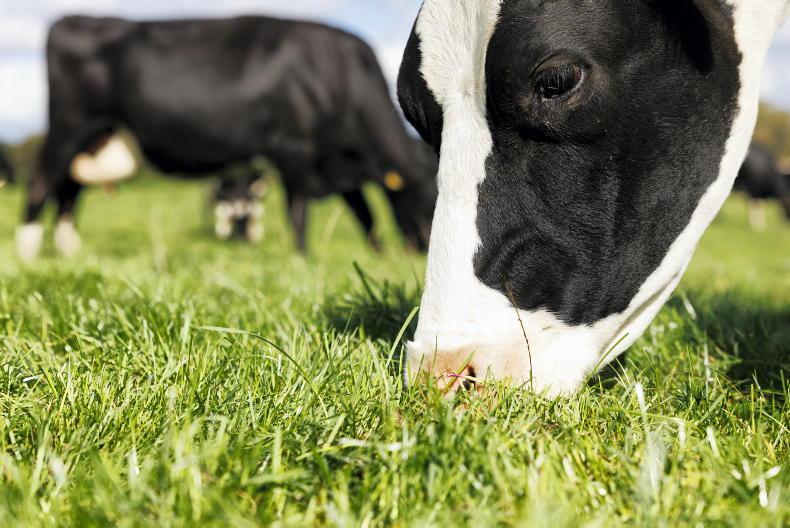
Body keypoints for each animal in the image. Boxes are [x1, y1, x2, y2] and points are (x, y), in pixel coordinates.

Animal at [17, 16, 437, 260]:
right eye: (429, 198)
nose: (423, 250)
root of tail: (74, 19)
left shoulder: (334, 159)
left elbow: (363, 212)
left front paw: (376, 254)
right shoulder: (293, 149)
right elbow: (298, 209)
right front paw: (302, 258)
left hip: (94, 137)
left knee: (68, 189)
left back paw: (69, 251)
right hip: (70, 124)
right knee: (42, 181)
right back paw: (27, 253)